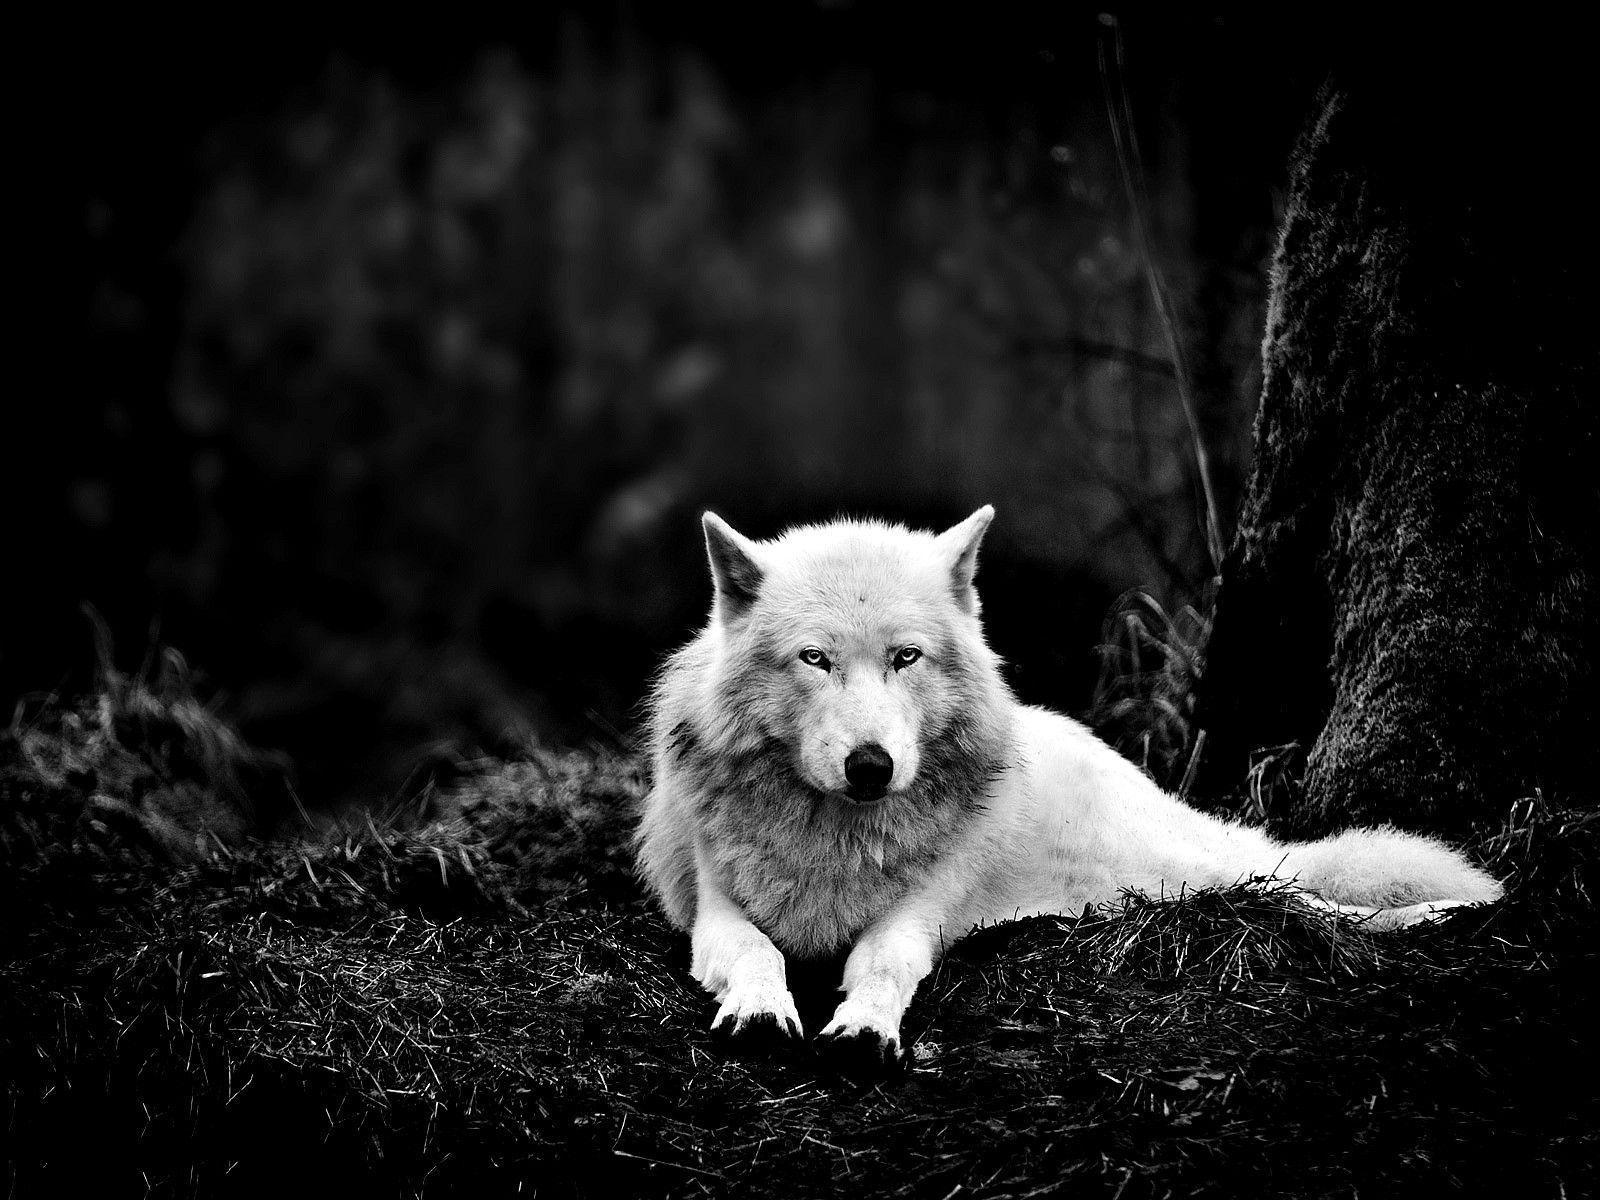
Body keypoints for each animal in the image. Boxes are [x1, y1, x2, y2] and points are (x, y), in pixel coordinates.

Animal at [635, 507, 1502, 1070]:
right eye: (814, 659)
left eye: (906, 658)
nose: (871, 766)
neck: (836, 836)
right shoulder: (714, 911)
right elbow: (755, 951)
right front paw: (760, 1010)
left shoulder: (916, 918)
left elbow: (882, 964)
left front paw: (865, 1030)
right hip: (1135, 895)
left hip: (1185, 873)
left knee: (1297, 891)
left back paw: (1448, 912)